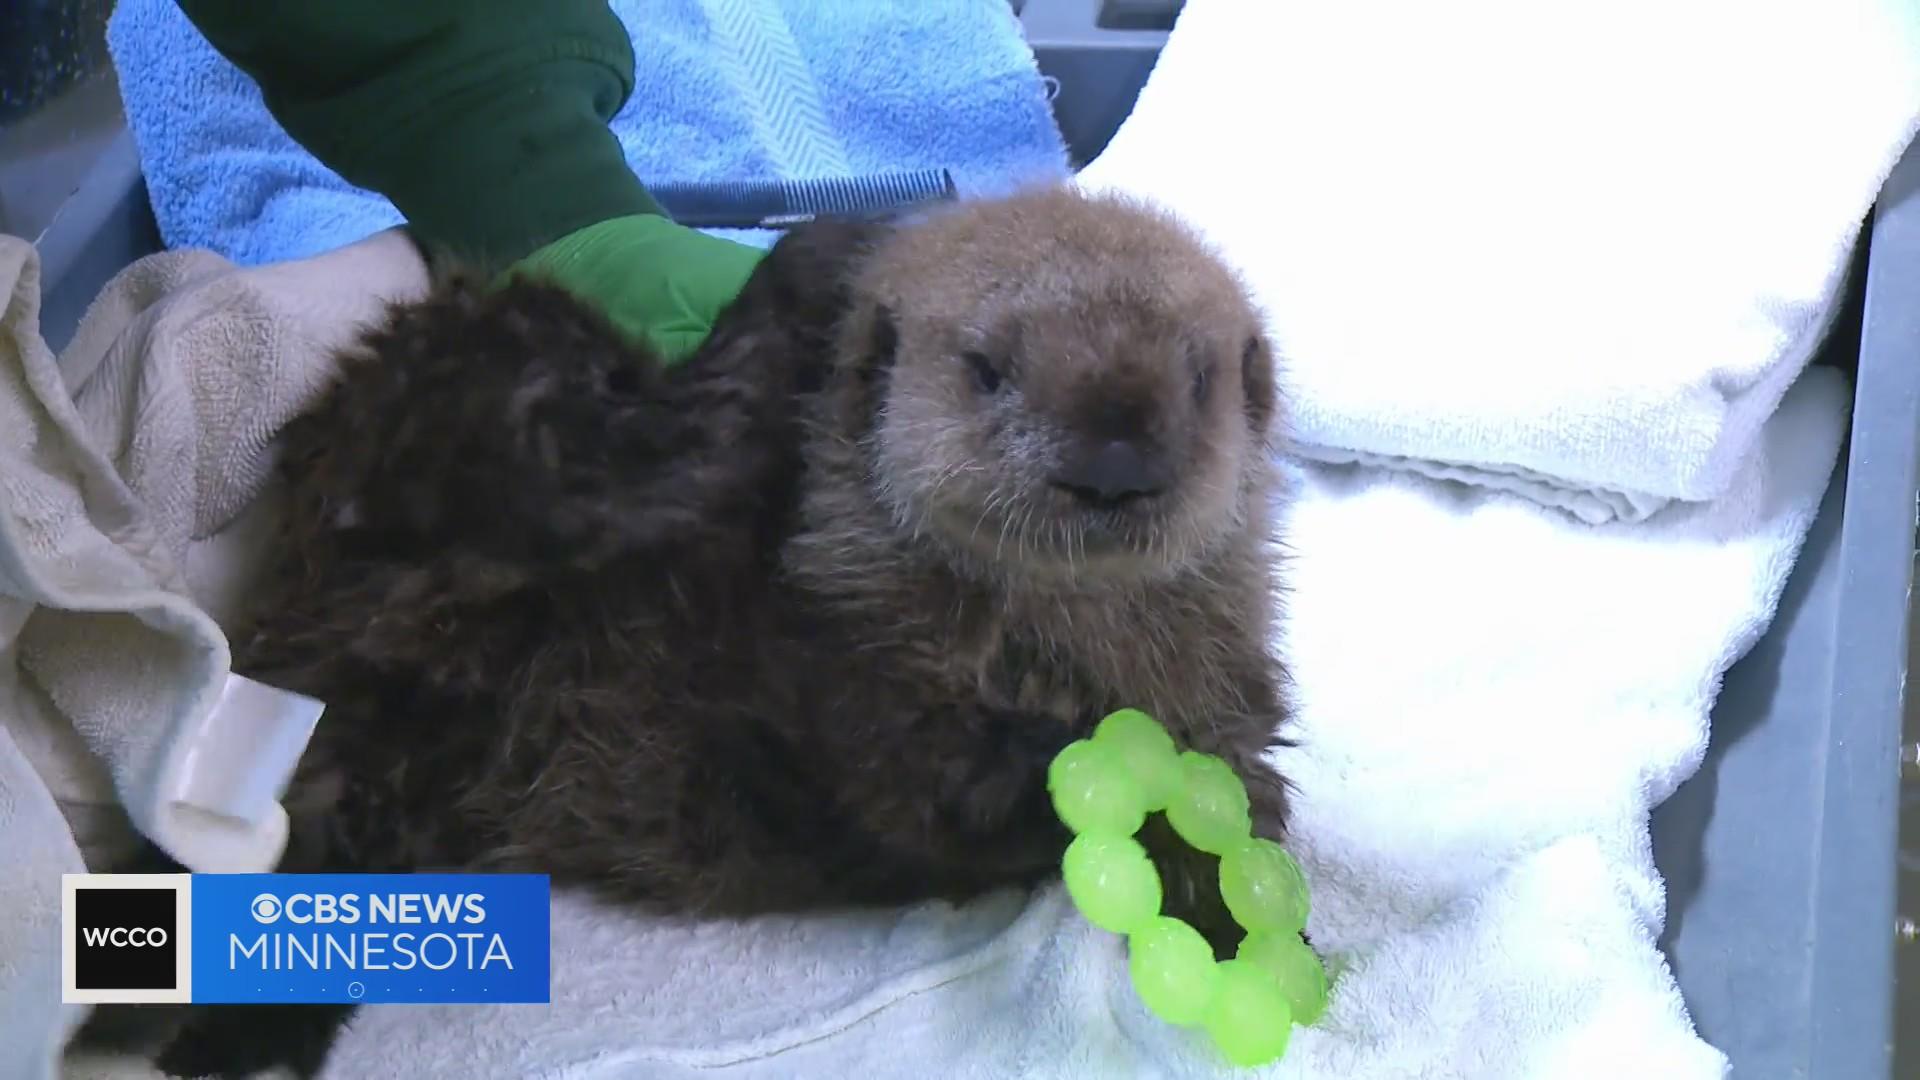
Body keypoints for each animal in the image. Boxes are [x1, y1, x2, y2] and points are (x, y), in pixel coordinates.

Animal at [79, 185, 1295, 1079]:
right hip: (480, 387)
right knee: (623, 436)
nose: (1116, 465)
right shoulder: (852, 684)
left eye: (1197, 378)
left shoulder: (1224, 680)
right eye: (987, 368)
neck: (1053, 636)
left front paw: (1240, 901)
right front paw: (1083, 760)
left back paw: (238, 1040)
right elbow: (922, 774)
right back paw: (791, 305)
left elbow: (1238, 780)